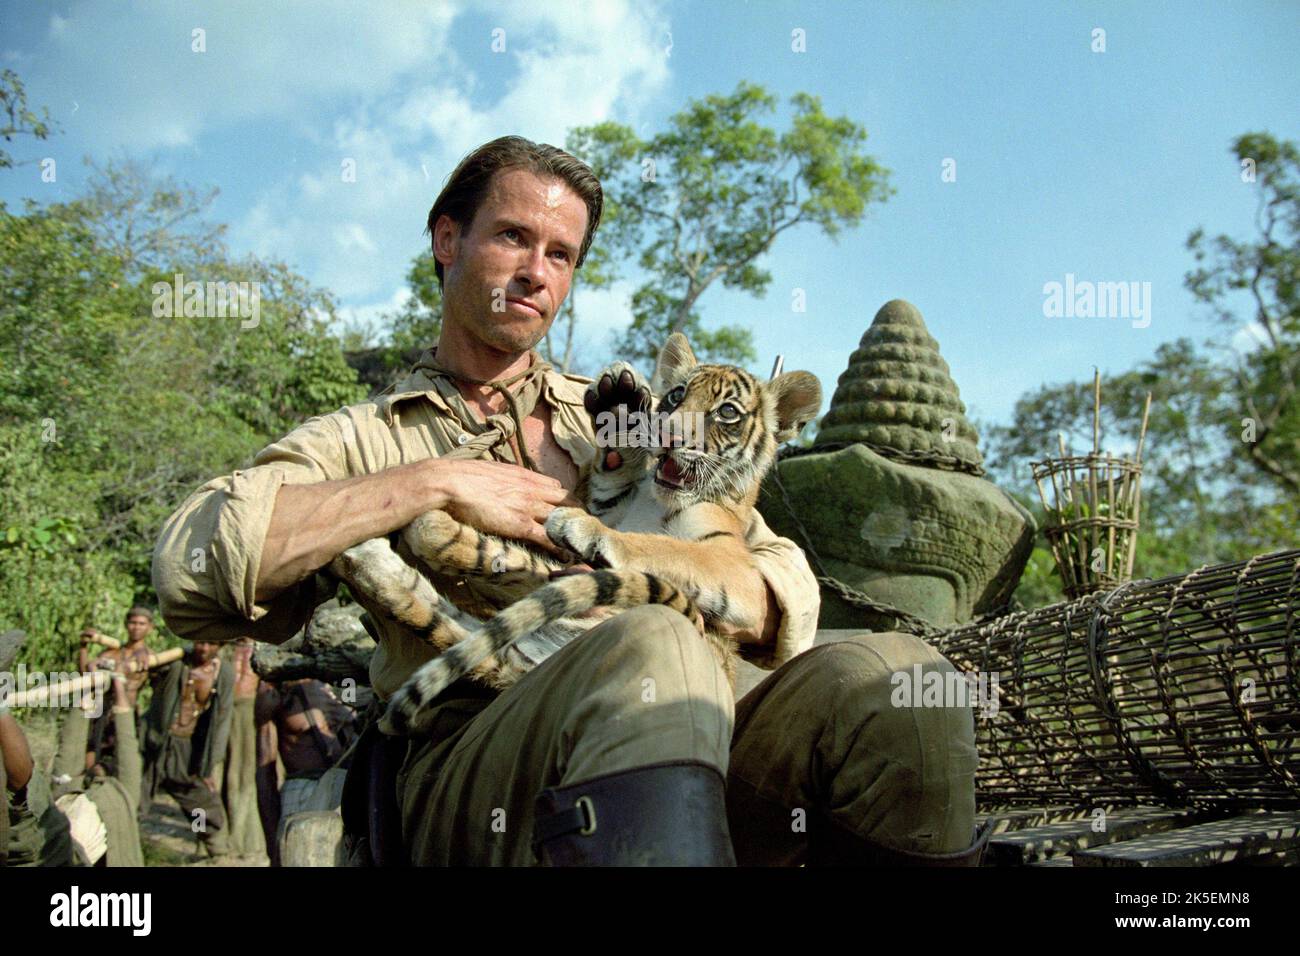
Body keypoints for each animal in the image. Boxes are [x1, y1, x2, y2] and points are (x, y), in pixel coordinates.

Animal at [328, 333, 822, 736]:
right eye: (676, 395)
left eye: (727, 413)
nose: (667, 435)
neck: (658, 497)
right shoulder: (610, 501)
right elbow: (611, 483)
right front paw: (620, 408)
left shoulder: (734, 567)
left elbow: (667, 547)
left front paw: (589, 528)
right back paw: (393, 546)